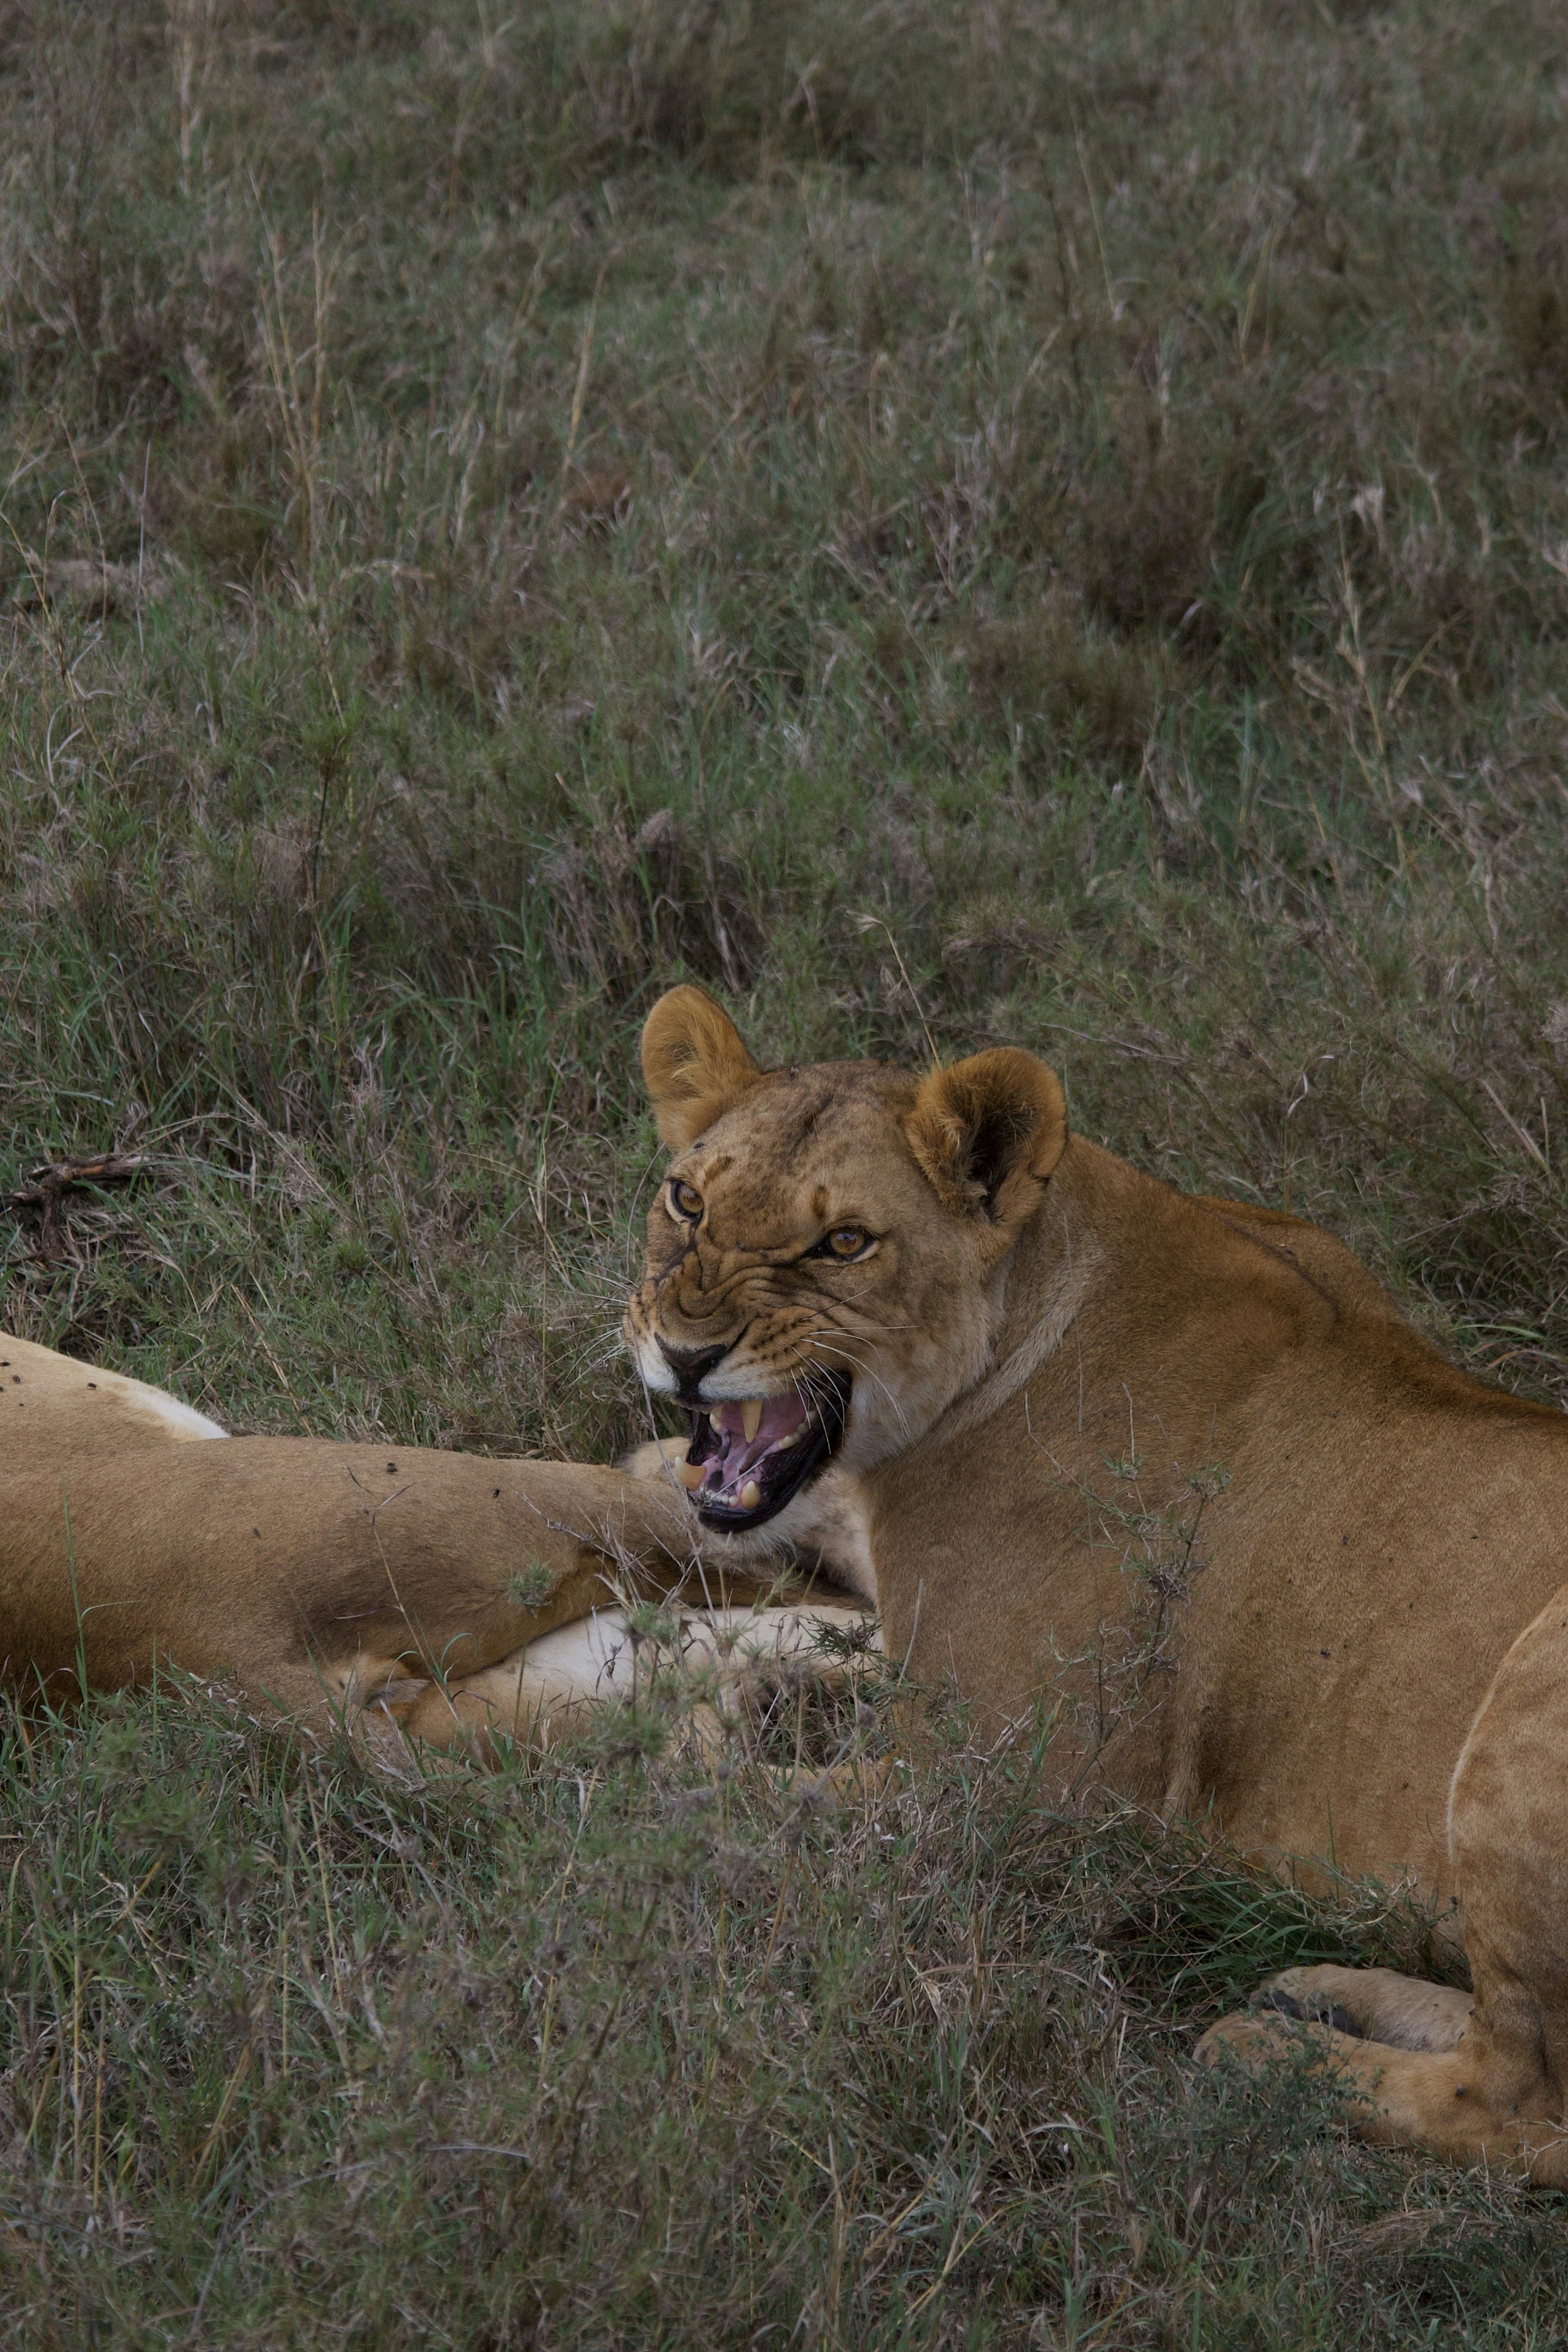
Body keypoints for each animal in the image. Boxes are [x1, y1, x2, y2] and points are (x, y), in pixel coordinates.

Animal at [615, 984, 1568, 2181]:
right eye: (687, 1199)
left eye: (844, 1243)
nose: (685, 1354)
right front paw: (657, 1480)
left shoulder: (1018, 1793)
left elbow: (724, 1796)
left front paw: (655, 1744)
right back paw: (1326, 1994)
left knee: (1517, 2098)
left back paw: (1271, 2052)